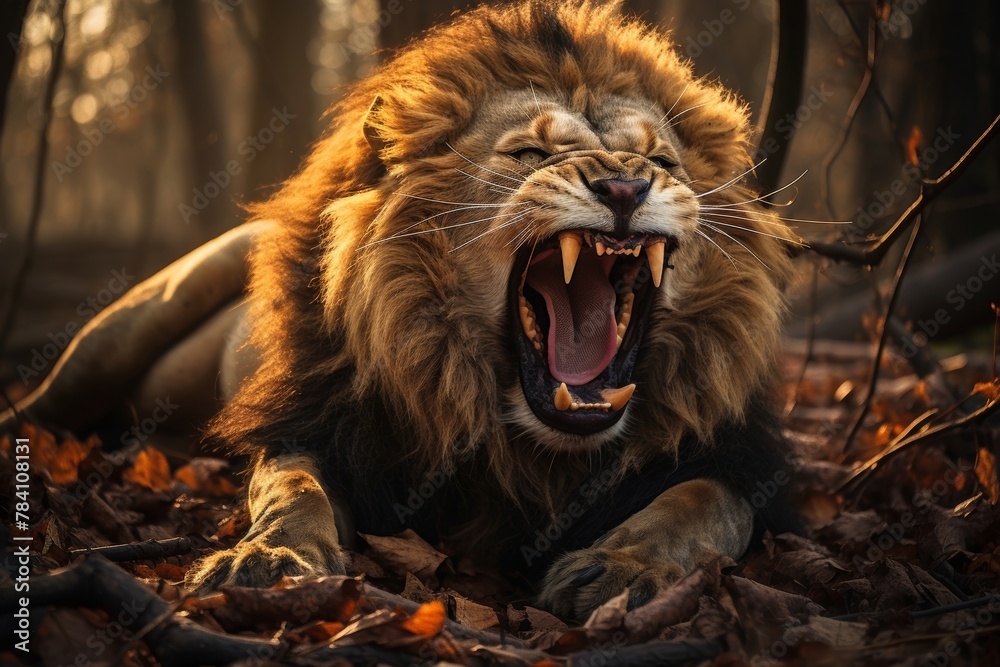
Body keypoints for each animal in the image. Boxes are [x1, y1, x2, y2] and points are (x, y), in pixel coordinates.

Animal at [2, 0, 802, 621]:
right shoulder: (314, 423)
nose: (626, 187)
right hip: (124, 331)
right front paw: (268, 559)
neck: (520, 435)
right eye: (529, 153)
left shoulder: (740, 458)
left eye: (662, 162)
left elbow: (701, 502)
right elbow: (291, 490)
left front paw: (625, 568)